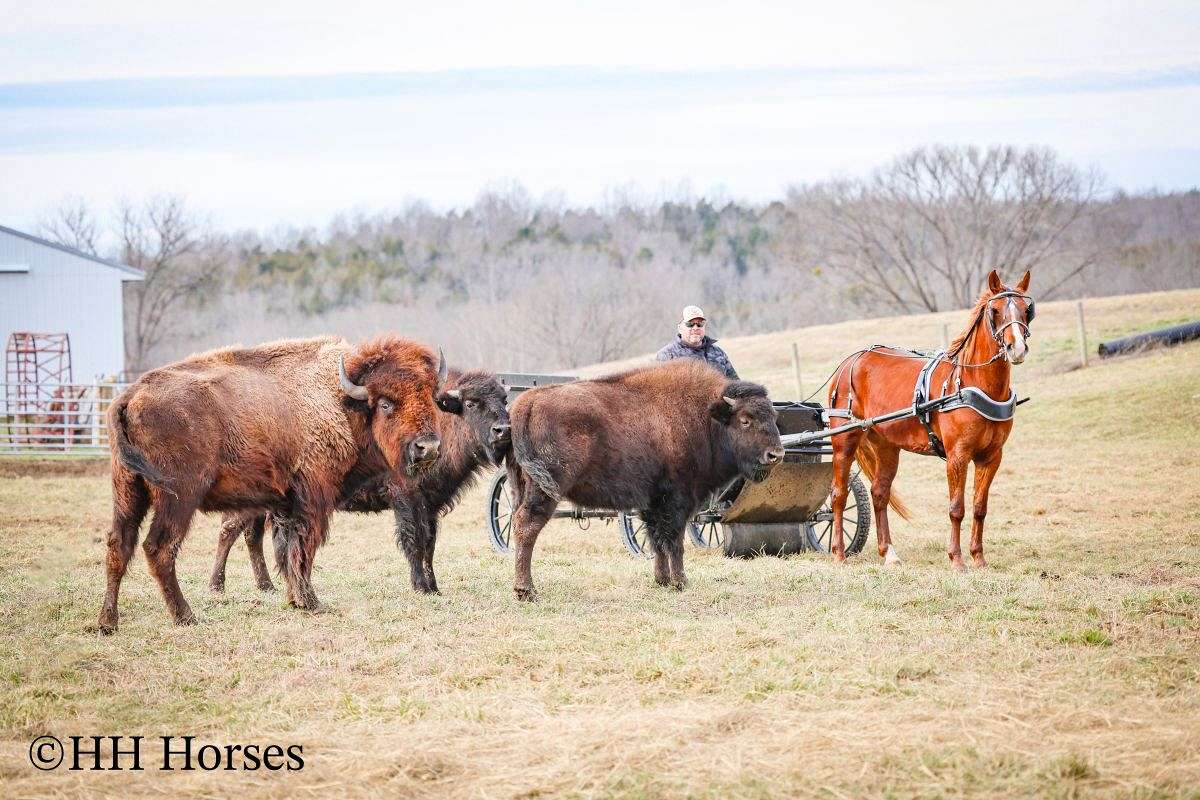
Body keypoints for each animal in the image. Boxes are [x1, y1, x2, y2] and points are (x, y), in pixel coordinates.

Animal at [827, 269, 1035, 570]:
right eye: (994, 310)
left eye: (1026, 310)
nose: (1016, 347)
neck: (971, 383)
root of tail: (848, 363)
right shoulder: (958, 455)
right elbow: (957, 508)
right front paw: (957, 559)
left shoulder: (991, 456)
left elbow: (980, 508)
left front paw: (979, 558)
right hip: (845, 440)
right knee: (839, 494)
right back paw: (839, 553)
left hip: (886, 445)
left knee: (879, 493)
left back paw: (888, 552)